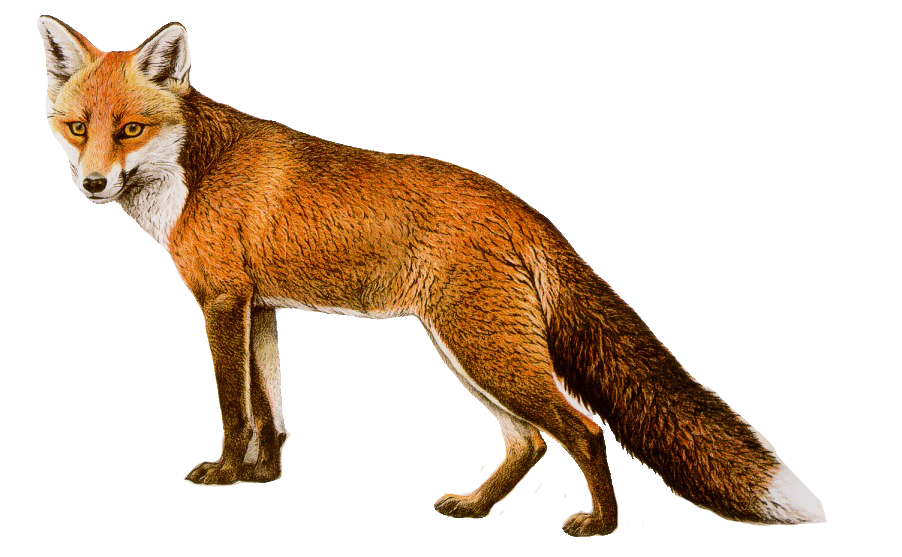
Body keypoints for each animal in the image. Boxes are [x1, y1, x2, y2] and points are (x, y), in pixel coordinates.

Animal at [37, 15, 826, 537]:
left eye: (130, 129)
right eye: (77, 128)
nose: (93, 184)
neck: (192, 174)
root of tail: (522, 208)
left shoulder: (222, 302)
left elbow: (236, 409)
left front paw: (227, 474)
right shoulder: (260, 307)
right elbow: (271, 410)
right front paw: (265, 477)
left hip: (484, 351)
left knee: (584, 430)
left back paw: (600, 525)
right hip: (466, 351)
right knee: (530, 442)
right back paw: (476, 508)